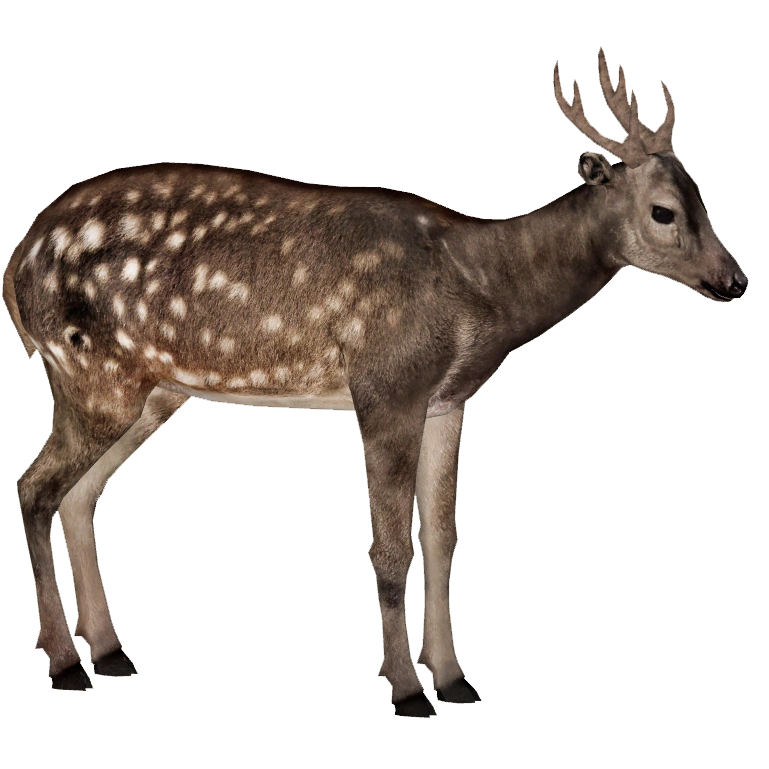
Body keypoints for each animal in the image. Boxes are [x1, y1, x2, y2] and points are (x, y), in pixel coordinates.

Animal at [2, 47, 747, 719]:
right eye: (663, 211)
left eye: (702, 197)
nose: (734, 279)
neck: (480, 291)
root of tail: (16, 265)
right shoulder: (386, 386)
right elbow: (391, 551)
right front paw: (409, 692)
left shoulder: (449, 400)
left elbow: (443, 543)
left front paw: (456, 680)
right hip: (94, 374)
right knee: (36, 487)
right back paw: (65, 666)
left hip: (149, 393)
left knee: (79, 495)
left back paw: (110, 653)